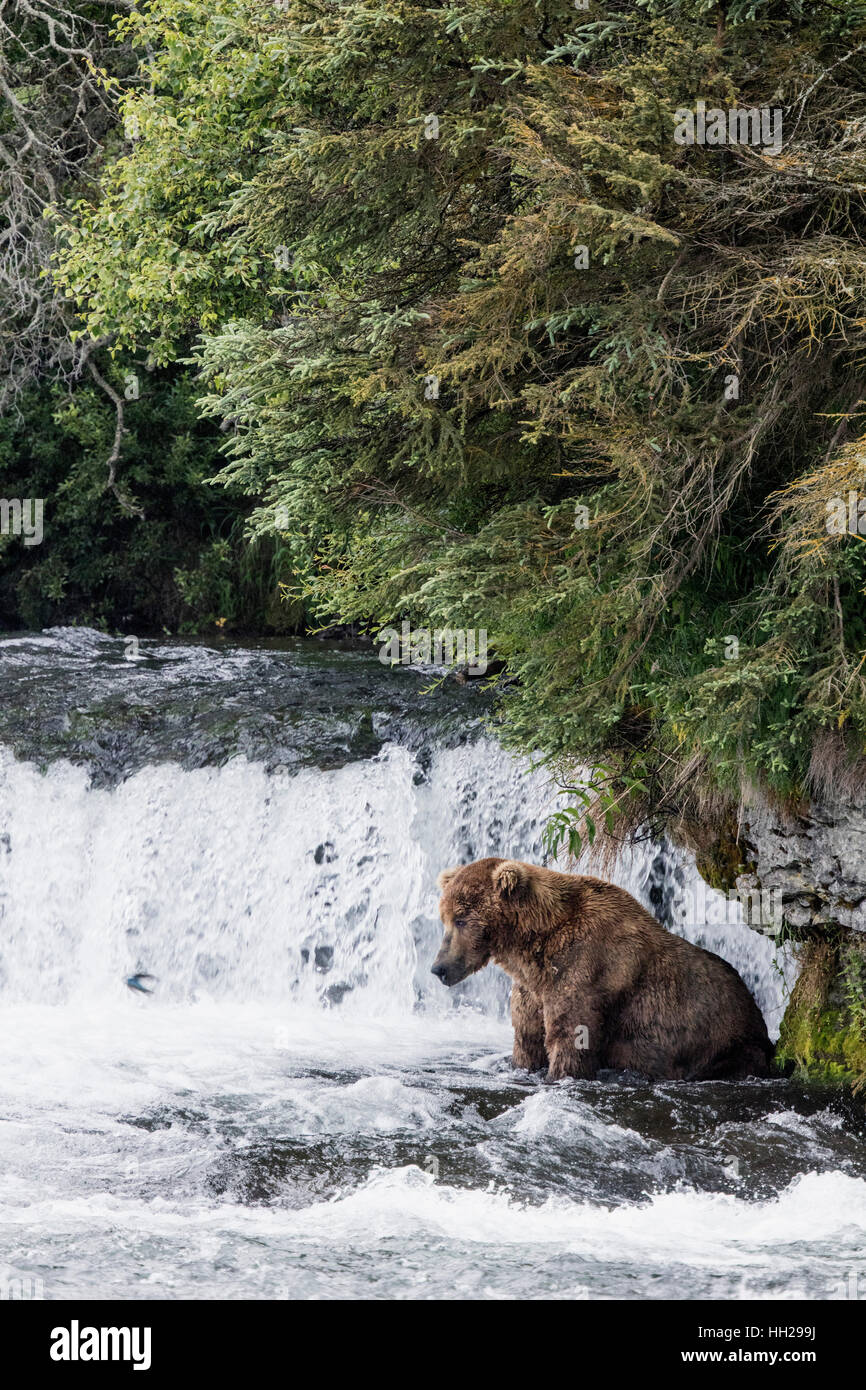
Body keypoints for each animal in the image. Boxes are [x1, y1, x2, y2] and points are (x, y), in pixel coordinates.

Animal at [431, 857, 773, 1082]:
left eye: (461, 919)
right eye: (445, 918)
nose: (438, 968)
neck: (532, 947)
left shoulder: (582, 968)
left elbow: (571, 1038)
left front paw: (558, 1074)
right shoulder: (531, 989)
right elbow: (528, 1039)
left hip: (727, 1040)